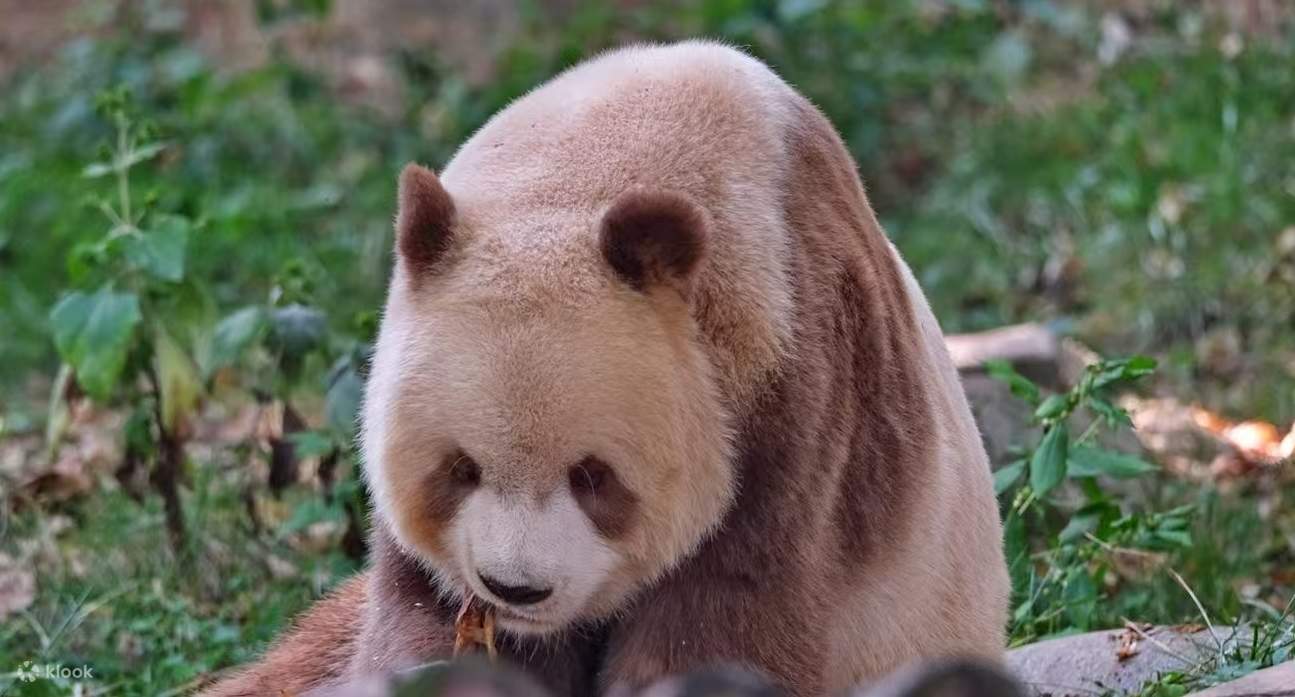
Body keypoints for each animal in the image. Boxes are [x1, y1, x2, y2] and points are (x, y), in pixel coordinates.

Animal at [201, 40, 1009, 697]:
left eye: (593, 475)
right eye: (459, 467)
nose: (516, 588)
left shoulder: (791, 404)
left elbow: (730, 622)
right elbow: (422, 627)